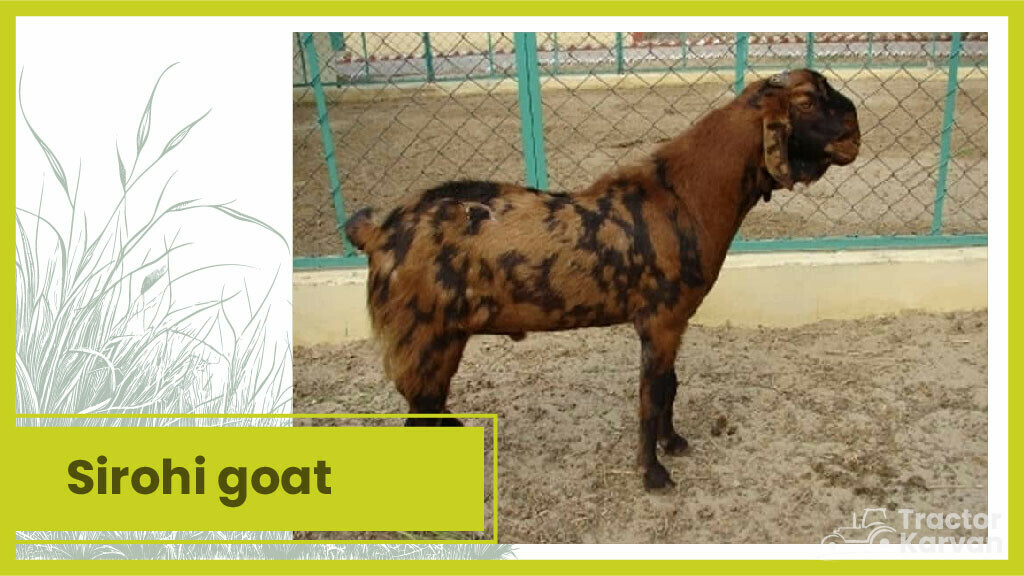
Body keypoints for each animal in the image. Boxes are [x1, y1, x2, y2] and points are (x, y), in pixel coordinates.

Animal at [344, 69, 860, 490]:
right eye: (807, 101)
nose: (855, 128)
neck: (683, 197)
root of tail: (378, 233)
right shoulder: (660, 318)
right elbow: (652, 395)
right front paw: (653, 474)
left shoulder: (672, 322)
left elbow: (670, 386)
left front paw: (674, 443)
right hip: (424, 338)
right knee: (419, 417)